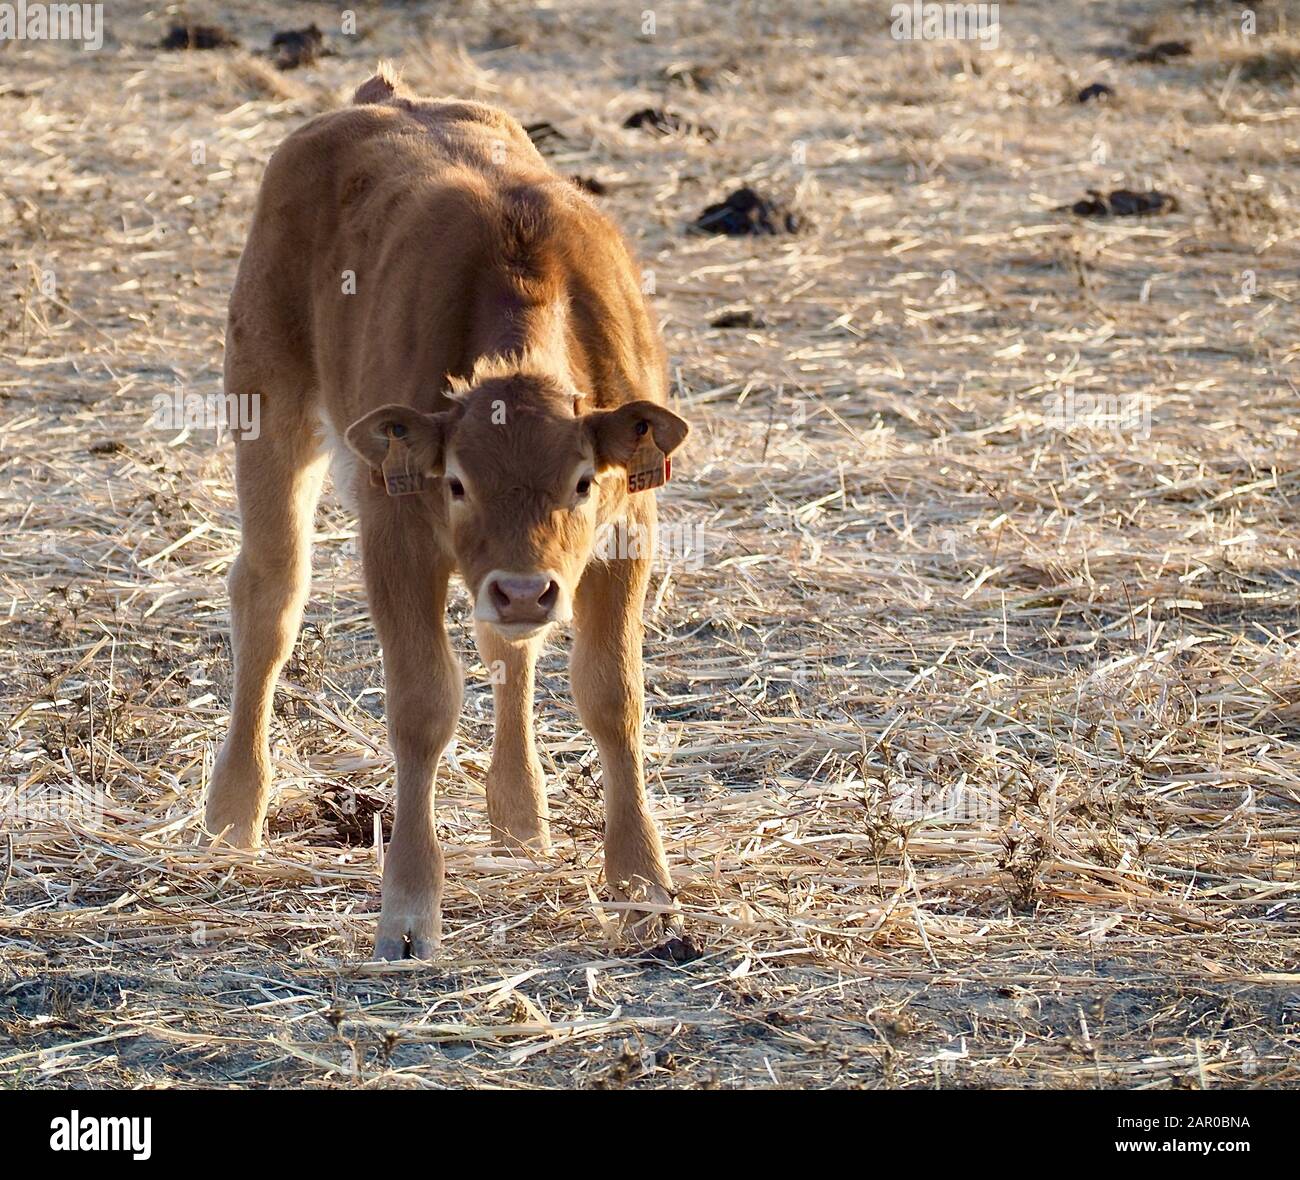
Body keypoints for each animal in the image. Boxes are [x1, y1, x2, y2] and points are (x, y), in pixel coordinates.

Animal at [204, 66, 690, 960]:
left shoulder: (624, 535)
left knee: (508, 649)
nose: (527, 589)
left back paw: (520, 820)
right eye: (457, 482)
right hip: (267, 404)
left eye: (581, 480)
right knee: (269, 598)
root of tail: (382, 97)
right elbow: (424, 705)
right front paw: (408, 912)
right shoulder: (395, 533)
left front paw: (643, 886)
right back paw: (230, 816)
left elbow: (612, 696)